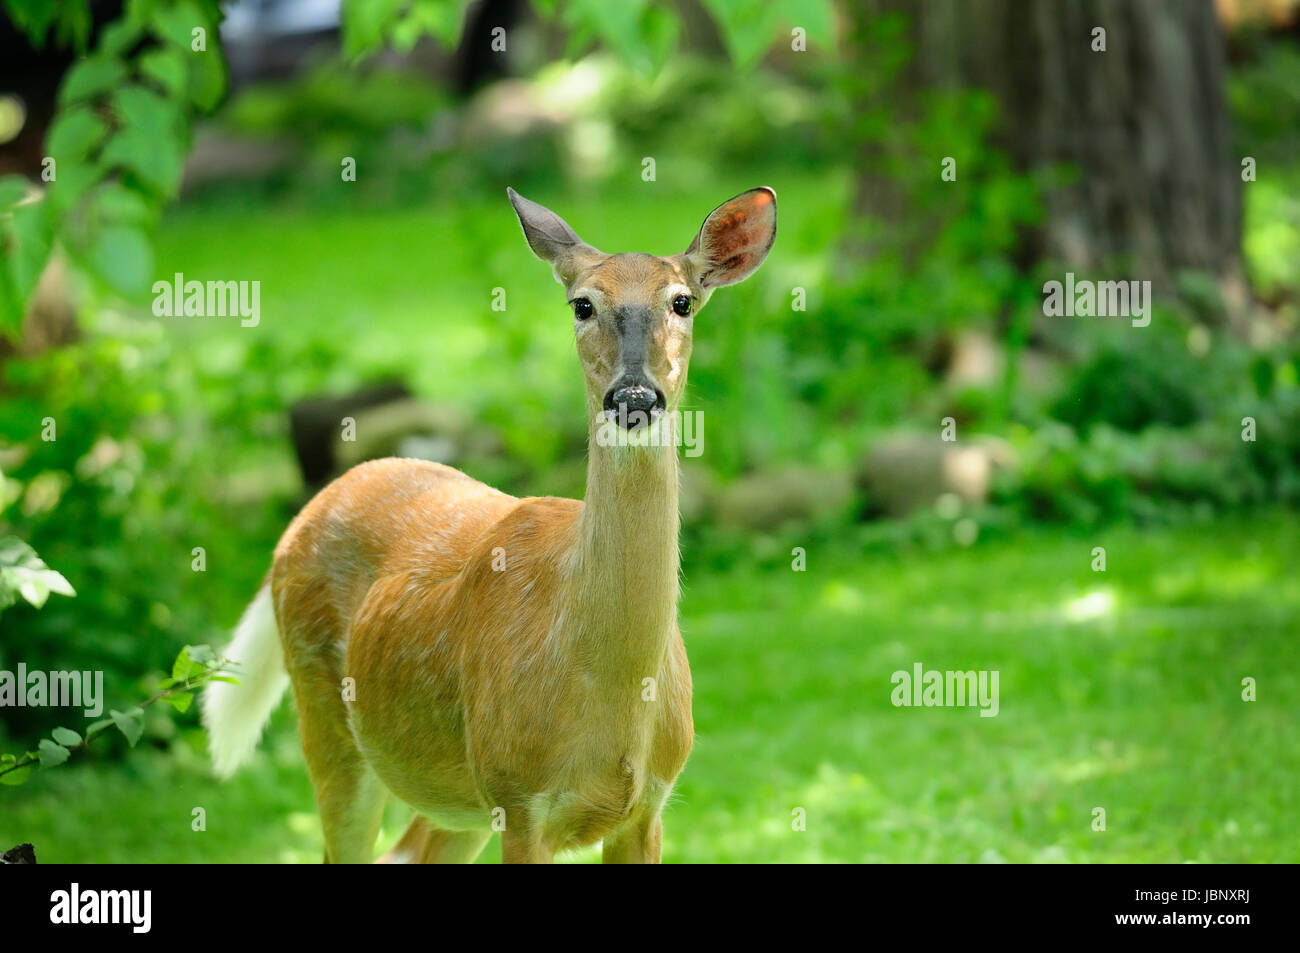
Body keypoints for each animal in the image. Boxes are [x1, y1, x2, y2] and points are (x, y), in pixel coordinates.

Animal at [201, 186, 778, 863]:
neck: (609, 690)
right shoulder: (518, 797)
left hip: (455, 797)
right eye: (582, 304)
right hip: (329, 719)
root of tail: (305, 515)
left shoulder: (649, 804)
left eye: (682, 301)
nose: (634, 396)